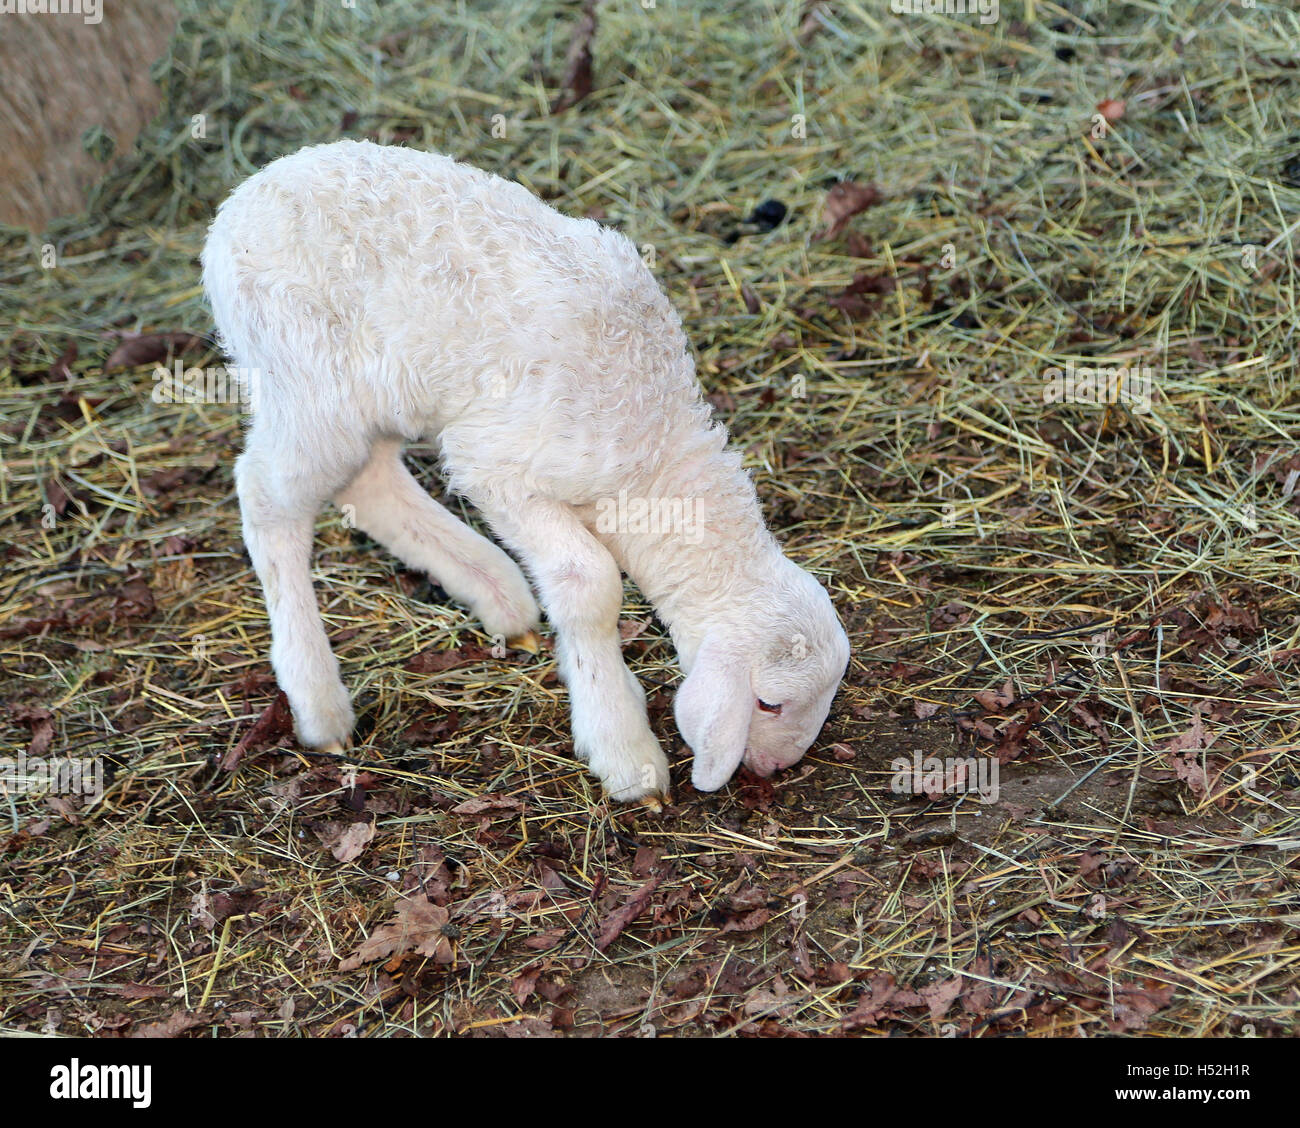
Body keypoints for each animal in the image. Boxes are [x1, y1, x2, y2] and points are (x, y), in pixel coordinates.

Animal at [201, 139, 850, 804]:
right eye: (769, 704)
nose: (773, 768)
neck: (654, 447)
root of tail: (241, 200)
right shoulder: (497, 467)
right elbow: (589, 582)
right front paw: (625, 750)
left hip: (379, 395)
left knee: (369, 481)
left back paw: (496, 594)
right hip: (306, 380)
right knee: (265, 493)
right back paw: (317, 701)